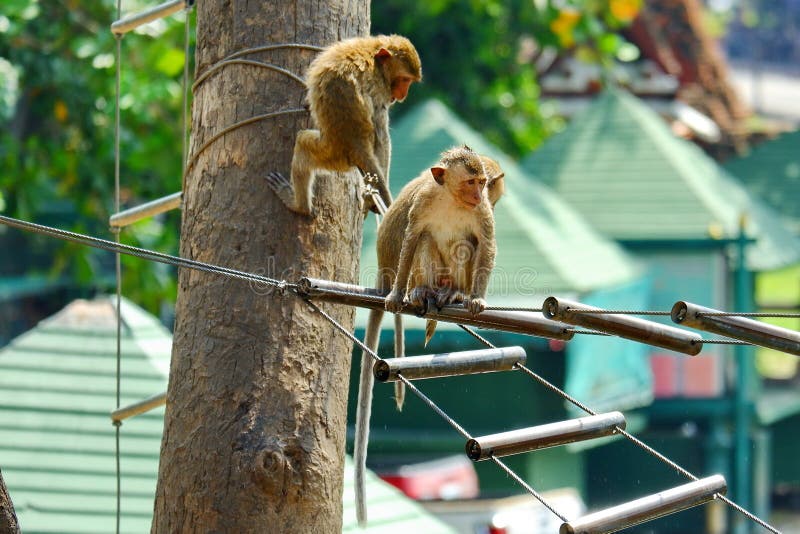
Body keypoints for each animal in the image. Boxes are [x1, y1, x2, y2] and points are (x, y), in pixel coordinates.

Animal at [266, 35, 422, 216]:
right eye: (405, 79)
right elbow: (381, 135)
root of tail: (356, 144)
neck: (372, 53)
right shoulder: (381, 90)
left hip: (331, 154)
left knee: (302, 146)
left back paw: (299, 206)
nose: (403, 94)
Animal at [354, 146, 497, 527]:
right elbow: (413, 237)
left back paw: (455, 295)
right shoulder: (423, 203)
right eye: (471, 182)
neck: (451, 198)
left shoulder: (482, 212)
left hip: (457, 274)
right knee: (425, 241)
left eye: (481, 183)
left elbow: (485, 245)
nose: (479, 194)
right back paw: (422, 292)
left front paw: (477, 299)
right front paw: (397, 295)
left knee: (466, 246)